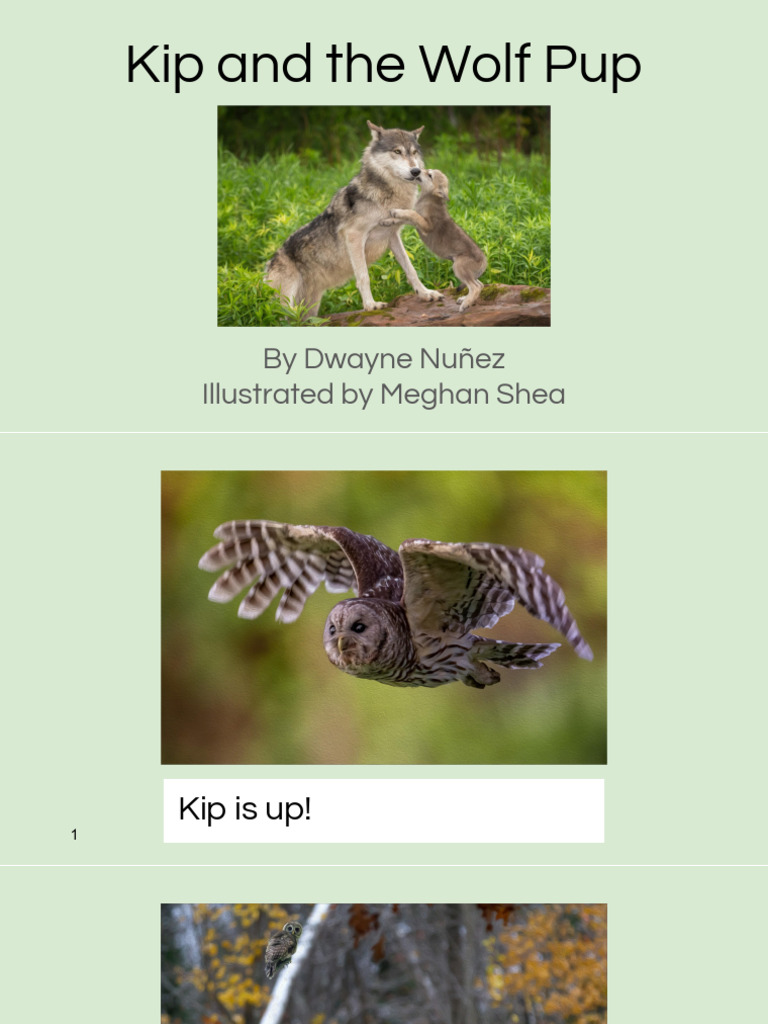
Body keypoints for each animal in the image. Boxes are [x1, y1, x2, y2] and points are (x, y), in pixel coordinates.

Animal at [265, 121, 442, 317]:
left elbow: (410, 268)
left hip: (310, 307)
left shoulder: (392, 236)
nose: (416, 171)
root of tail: (267, 266)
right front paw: (370, 305)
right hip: (286, 304)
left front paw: (425, 293)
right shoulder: (354, 236)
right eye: (397, 151)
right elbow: (363, 276)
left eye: (414, 152)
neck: (388, 196)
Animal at [381, 168, 487, 311]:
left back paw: (465, 304)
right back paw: (466, 299)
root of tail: (484, 260)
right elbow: (403, 218)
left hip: (459, 267)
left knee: (476, 287)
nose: (416, 170)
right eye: (427, 171)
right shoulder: (417, 222)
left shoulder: (425, 224)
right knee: (479, 284)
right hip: (467, 272)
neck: (428, 197)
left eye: (429, 175)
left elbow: (410, 213)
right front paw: (387, 220)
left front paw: (396, 211)